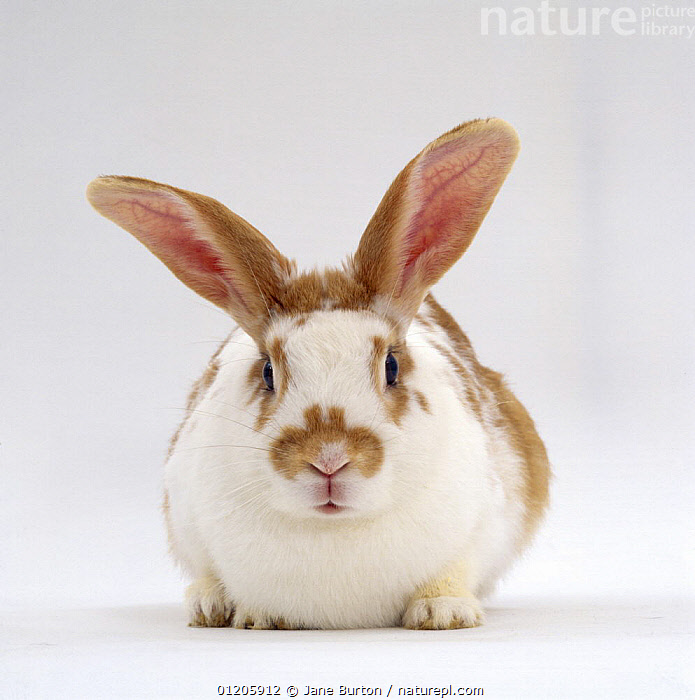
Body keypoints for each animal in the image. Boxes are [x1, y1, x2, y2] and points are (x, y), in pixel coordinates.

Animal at [86, 117, 550, 630]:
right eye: (268, 371)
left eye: (391, 366)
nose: (329, 459)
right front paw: (252, 616)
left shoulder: (486, 521)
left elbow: (453, 571)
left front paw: (442, 613)